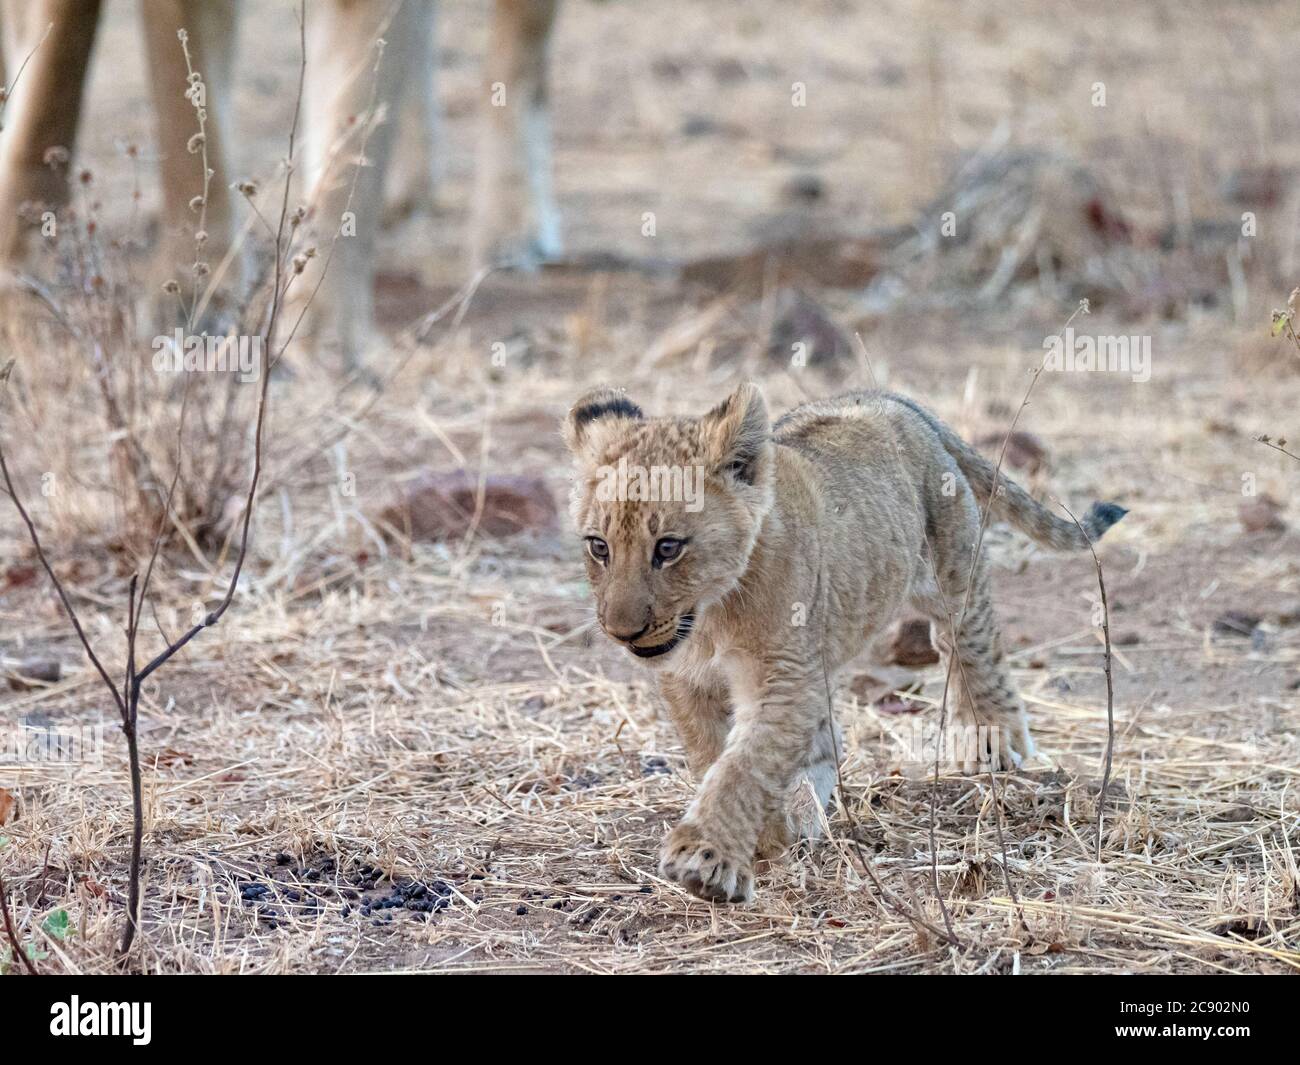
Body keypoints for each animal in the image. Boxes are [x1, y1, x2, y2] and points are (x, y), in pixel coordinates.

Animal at [563, 383, 1126, 903]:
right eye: (599, 547)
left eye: (668, 548)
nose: (621, 631)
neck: (709, 617)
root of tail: (888, 397)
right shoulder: (691, 679)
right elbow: (714, 755)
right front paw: (767, 837)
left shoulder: (783, 675)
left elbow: (744, 766)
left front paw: (707, 859)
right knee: (827, 737)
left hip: (951, 576)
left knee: (973, 648)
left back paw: (993, 744)